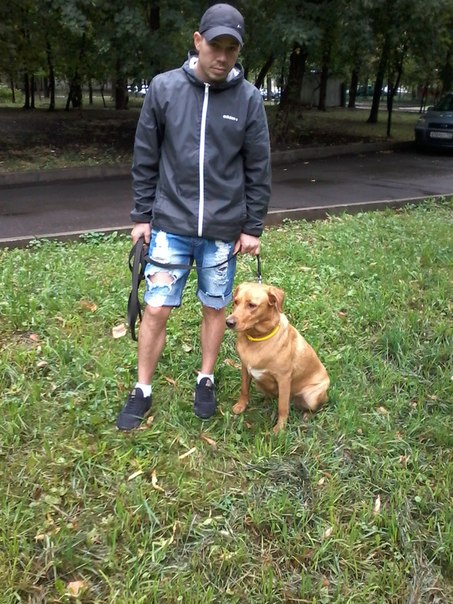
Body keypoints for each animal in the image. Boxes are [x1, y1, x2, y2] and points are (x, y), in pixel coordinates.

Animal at [225, 282, 330, 433]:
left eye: (252, 305)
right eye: (235, 302)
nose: (228, 322)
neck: (257, 339)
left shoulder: (284, 378)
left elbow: (282, 407)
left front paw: (279, 429)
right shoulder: (245, 368)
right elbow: (244, 389)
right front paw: (241, 406)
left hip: (312, 397)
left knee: (315, 407)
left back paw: (306, 417)